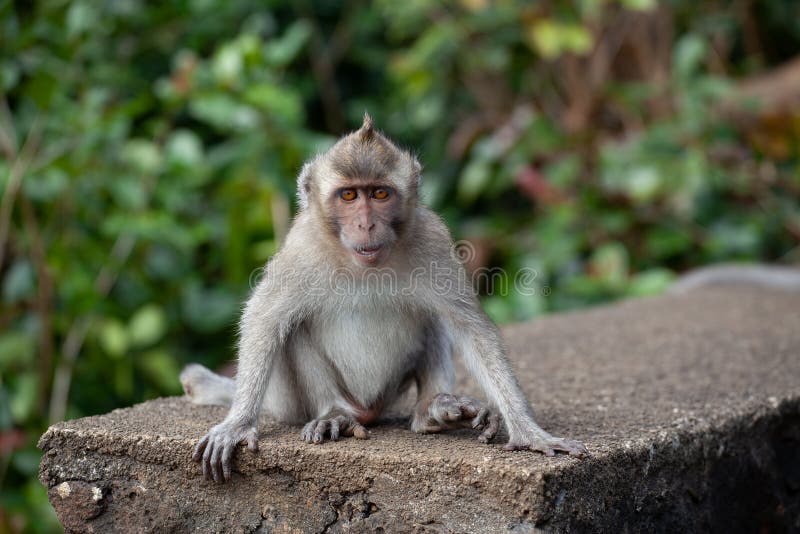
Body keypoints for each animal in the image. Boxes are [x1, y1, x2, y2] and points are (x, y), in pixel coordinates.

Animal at [181, 114, 587, 483]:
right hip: (292, 402)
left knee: (433, 319)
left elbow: (469, 327)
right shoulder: (301, 247)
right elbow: (265, 320)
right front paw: (237, 424)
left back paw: (432, 410)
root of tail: (368, 412)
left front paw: (528, 432)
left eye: (379, 193)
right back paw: (334, 414)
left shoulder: (432, 239)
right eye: (348, 195)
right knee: (295, 330)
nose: (366, 224)